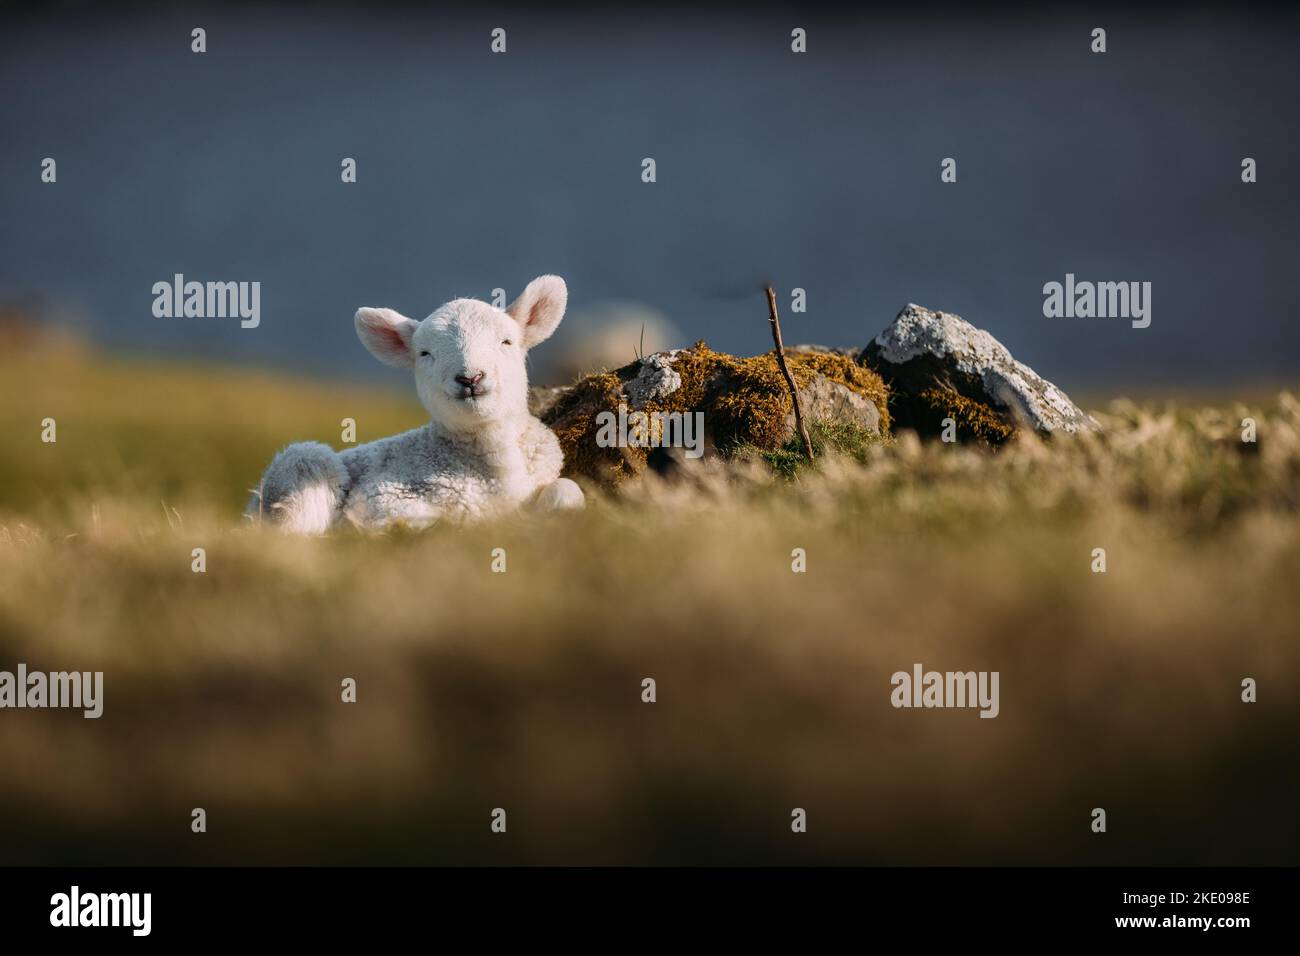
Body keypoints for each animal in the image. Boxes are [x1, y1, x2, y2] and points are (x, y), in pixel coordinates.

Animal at [247, 275, 585, 533]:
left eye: (506, 342)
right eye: (424, 354)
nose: (470, 378)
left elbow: (569, 492)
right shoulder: (379, 497)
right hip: (303, 464)